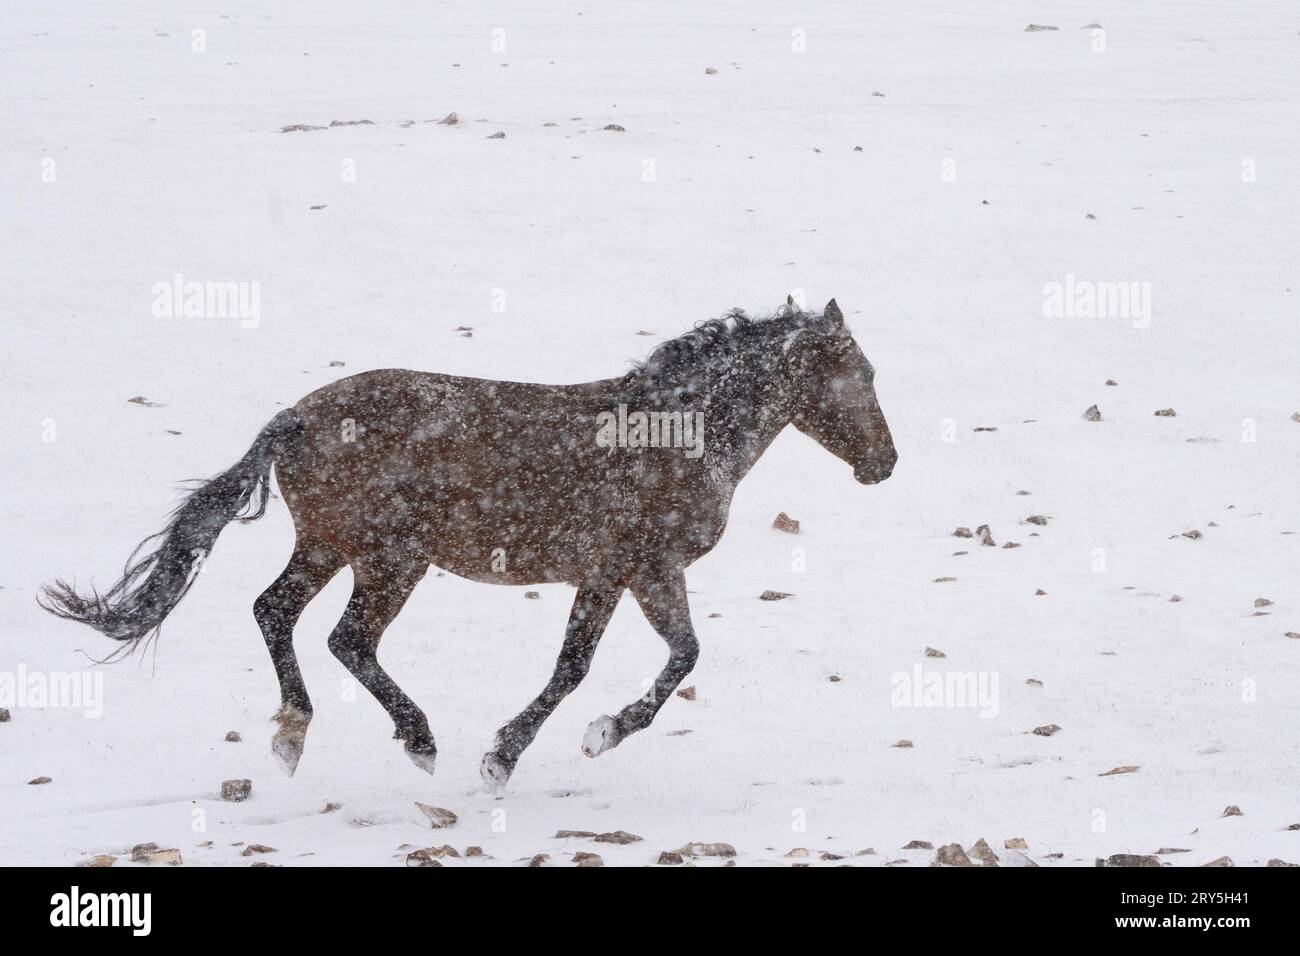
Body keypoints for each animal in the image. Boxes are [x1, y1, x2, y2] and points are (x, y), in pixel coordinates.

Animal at [41, 298, 897, 787]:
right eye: (861, 375)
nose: (885, 463)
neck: (677, 434)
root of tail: (297, 418)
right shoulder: (627, 567)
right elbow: (596, 666)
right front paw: (514, 756)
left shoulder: (637, 574)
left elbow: (658, 656)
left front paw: (578, 739)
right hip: (388, 559)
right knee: (345, 638)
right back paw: (415, 740)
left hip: (330, 547)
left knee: (275, 611)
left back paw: (293, 735)